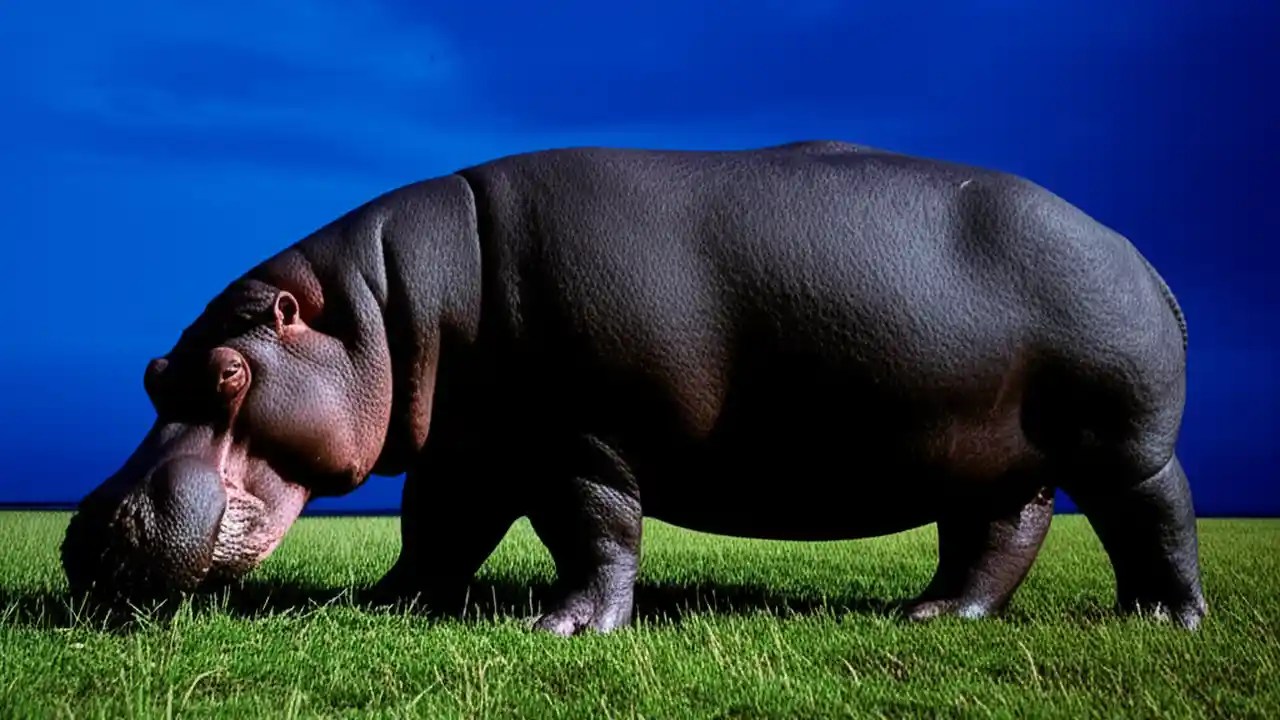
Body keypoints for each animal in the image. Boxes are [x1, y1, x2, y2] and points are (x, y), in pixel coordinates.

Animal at [61, 140, 1206, 633]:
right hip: (989, 449)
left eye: (226, 372)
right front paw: (382, 600)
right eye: (154, 372)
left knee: (1155, 510)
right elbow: (436, 531)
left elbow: (594, 532)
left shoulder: (579, 438)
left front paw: (560, 629)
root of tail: (1144, 260)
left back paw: (1159, 619)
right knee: (998, 534)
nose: (91, 533)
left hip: (1116, 435)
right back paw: (932, 618)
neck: (384, 310)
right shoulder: (472, 447)